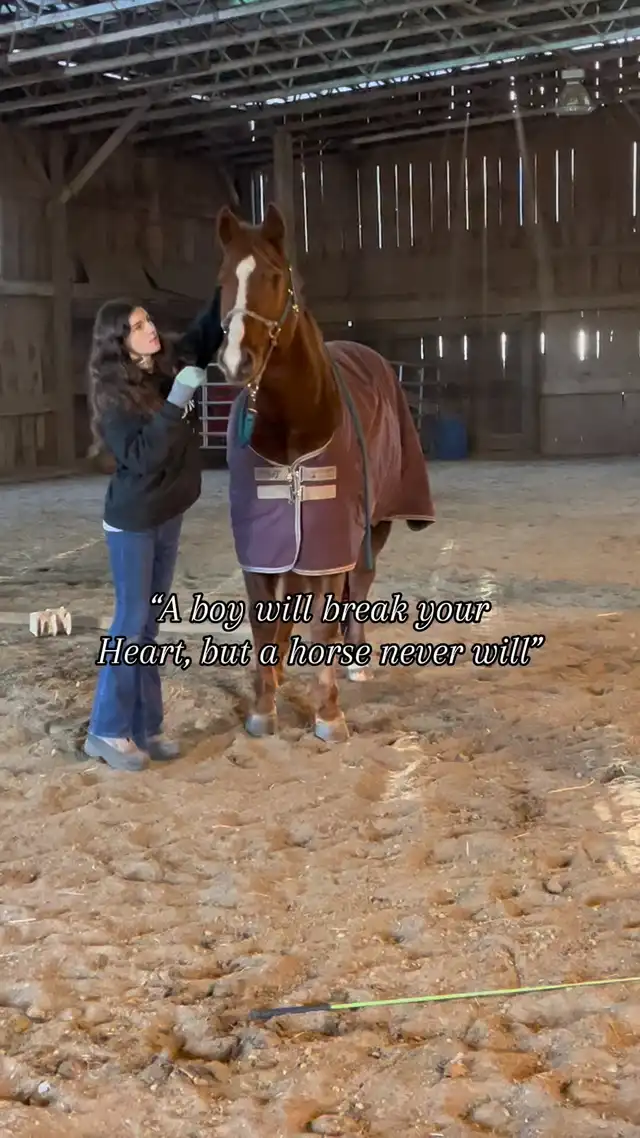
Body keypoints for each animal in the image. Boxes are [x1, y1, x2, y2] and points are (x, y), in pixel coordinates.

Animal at [215, 200, 435, 744]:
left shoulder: (331, 541)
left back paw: (355, 659)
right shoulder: (260, 543)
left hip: (376, 523)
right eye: (224, 278)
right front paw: (264, 706)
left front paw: (328, 715)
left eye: (274, 276)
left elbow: (324, 621)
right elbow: (263, 623)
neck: (292, 422)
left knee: (361, 584)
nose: (236, 361)